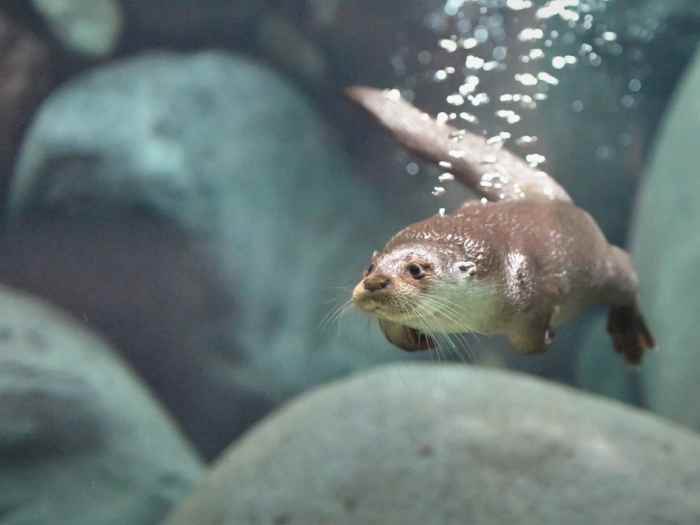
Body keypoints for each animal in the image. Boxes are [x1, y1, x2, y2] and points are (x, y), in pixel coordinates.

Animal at [347, 86, 654, 365]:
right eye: (369, 268)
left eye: (416, 270)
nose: (374, 282)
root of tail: (547, 199)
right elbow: (391, 330)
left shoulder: (534, 296)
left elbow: (528, 341)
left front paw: (547, 338)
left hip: (599, 264)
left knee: (624, 270)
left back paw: (629, 332)